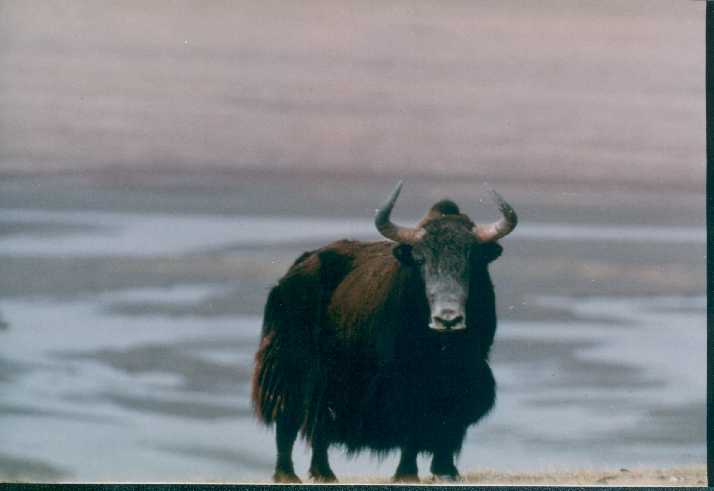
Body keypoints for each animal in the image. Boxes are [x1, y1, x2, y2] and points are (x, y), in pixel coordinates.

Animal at [251, 181, 517, 482]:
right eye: (420, 259)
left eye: (473, 259)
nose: (447, 318)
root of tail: (296, 268)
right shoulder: (401, 381)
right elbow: (411, 421)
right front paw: (407, 473)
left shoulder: (469, 376)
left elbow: (451, 422)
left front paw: (446, 470)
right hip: (290, 366)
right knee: (288, 418)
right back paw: (287, 474)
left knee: (320, 424)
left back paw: (325, 473)